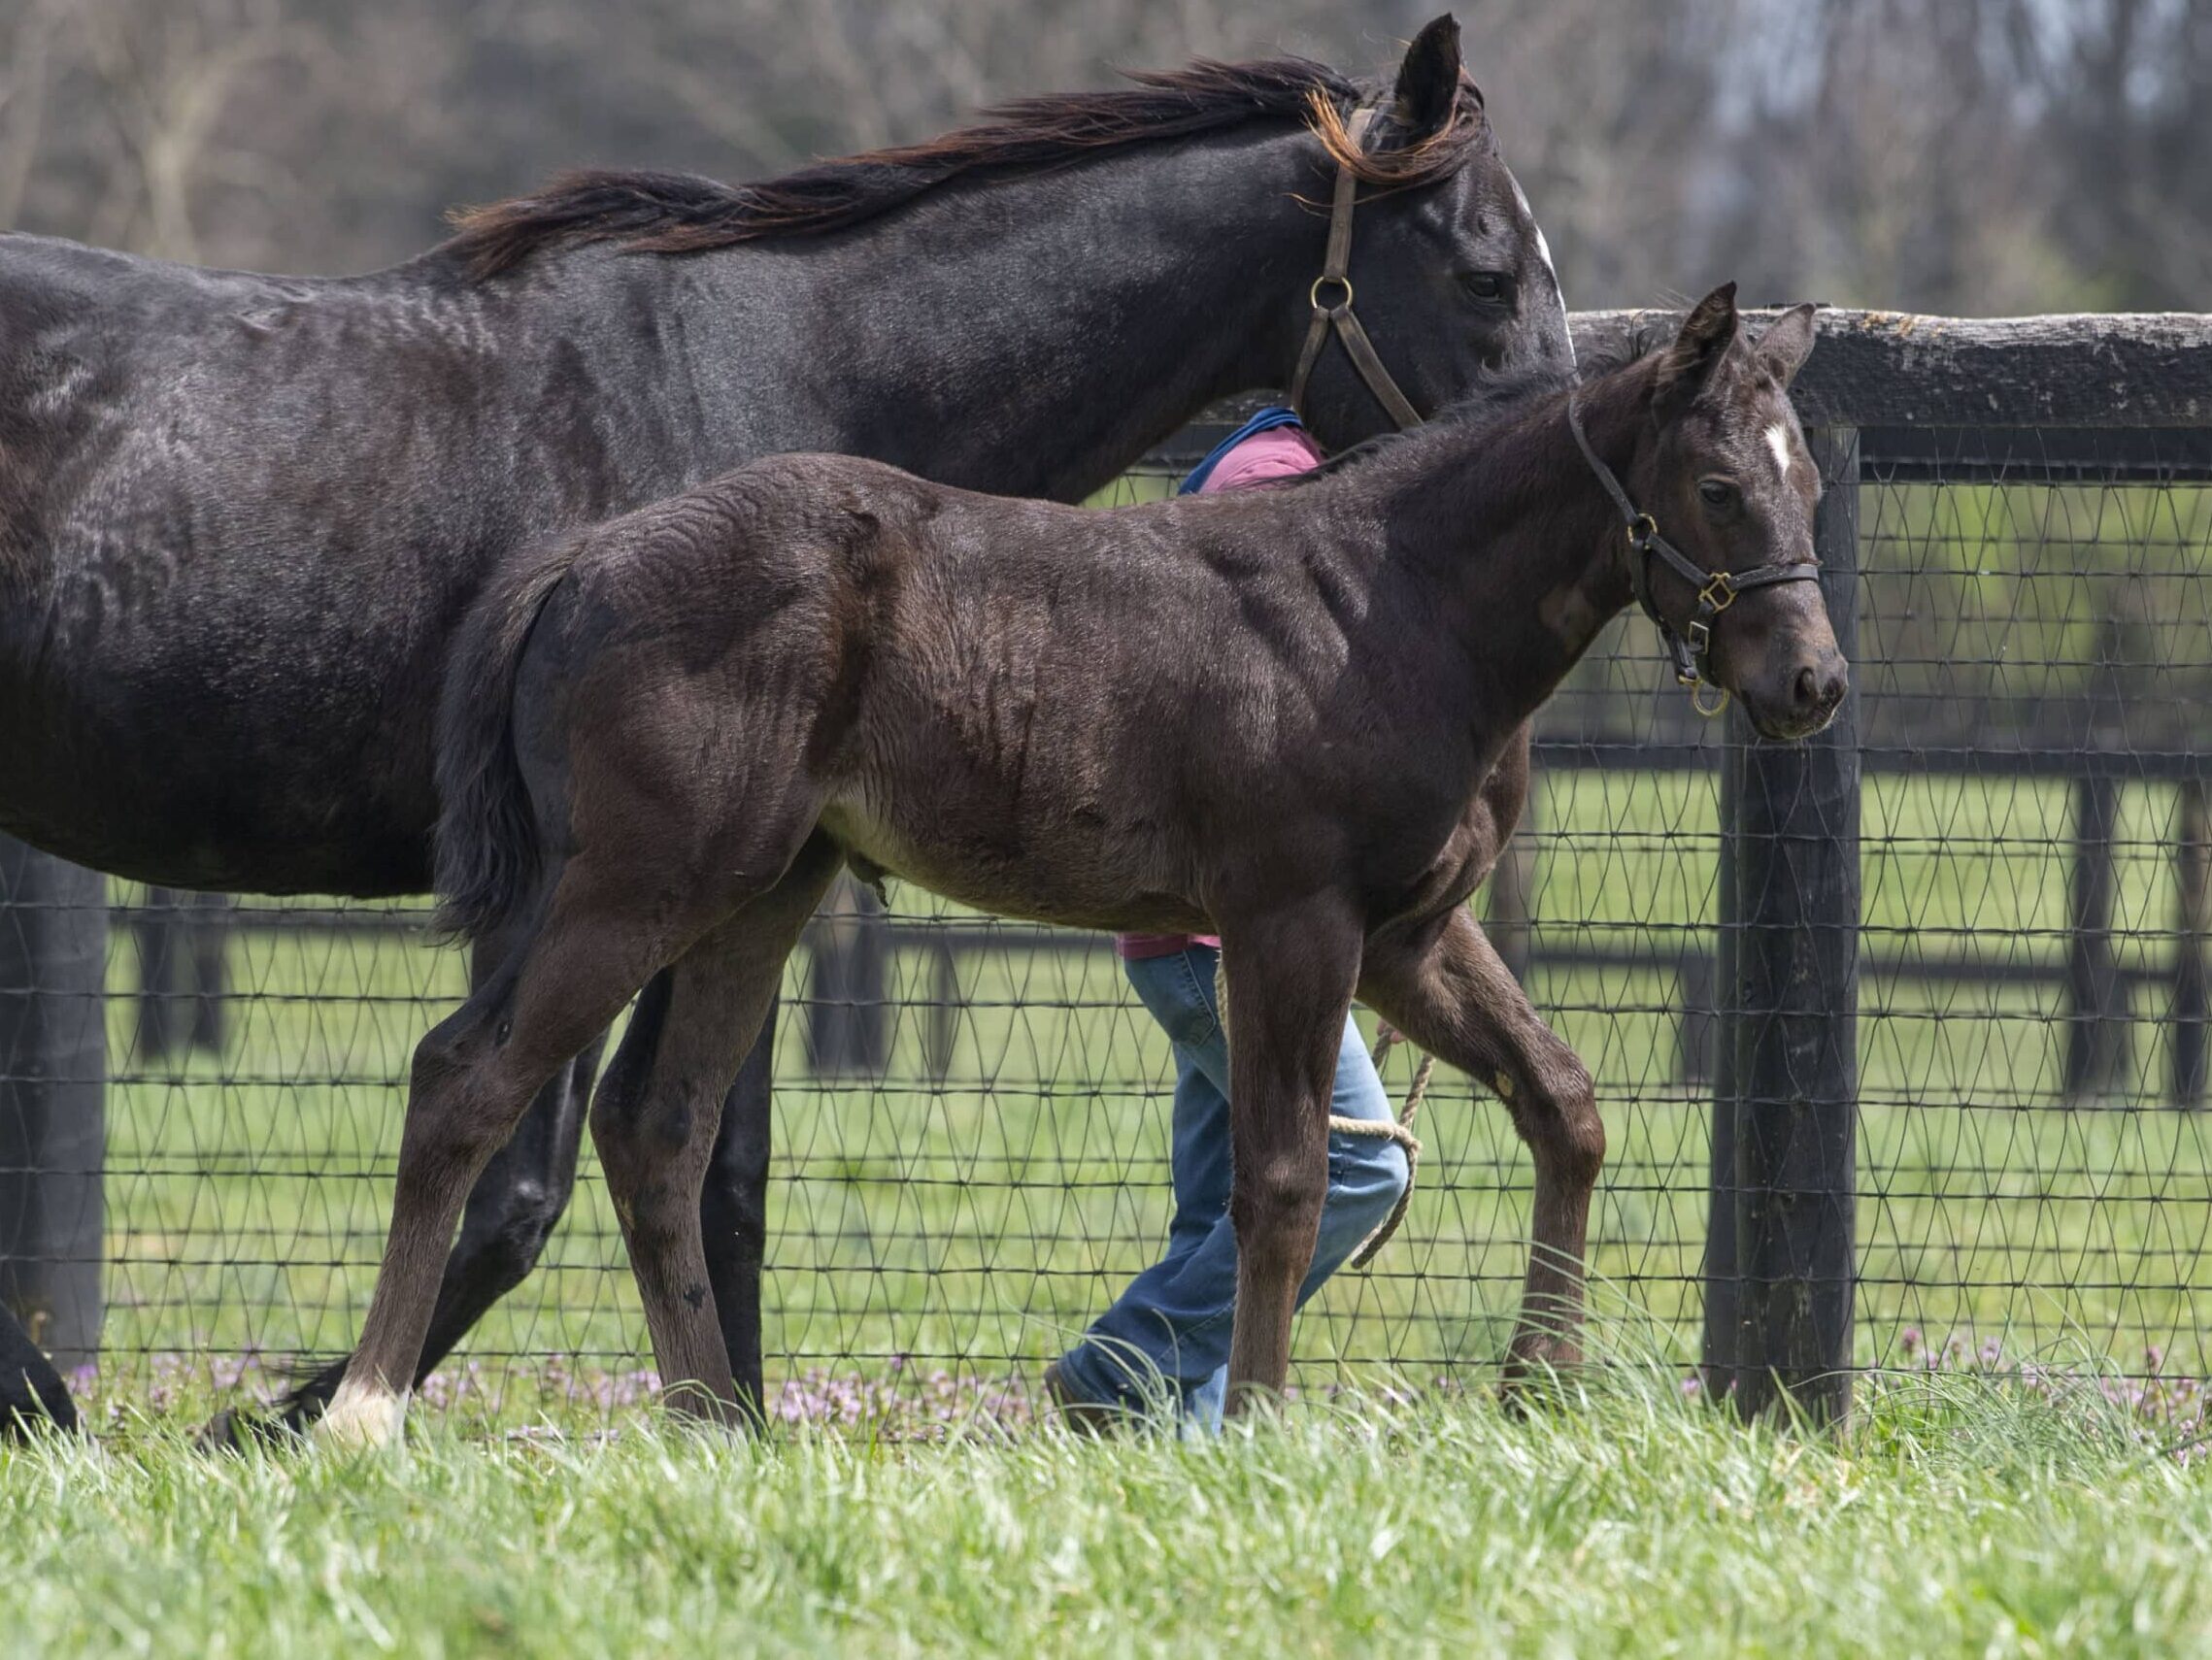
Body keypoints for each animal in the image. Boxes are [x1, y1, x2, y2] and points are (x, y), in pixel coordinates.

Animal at [0, 17, 1576, 1437]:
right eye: (1485, 270)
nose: (1553, 445)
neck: (773, 372)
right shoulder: (591, 883)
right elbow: (524, 1180)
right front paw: (290, 1413)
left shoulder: (753, 874)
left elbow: (705, 1167)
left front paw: (725, 1414)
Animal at [312, 283, 1843, 1446]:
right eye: (1717, 486)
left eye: (1811, 481)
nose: (1813, 683)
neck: (1386, 600)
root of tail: (579, 558)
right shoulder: (1291, 916)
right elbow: (1283, 1179)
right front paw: (1262, 1425)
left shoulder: (1408, 933)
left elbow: (1563, 1102)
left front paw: (1538, 1389)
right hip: (636, 883)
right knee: (465, 1078)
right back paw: (366, 1413)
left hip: (764, 888)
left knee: (655, 1125)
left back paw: (714, 1426)